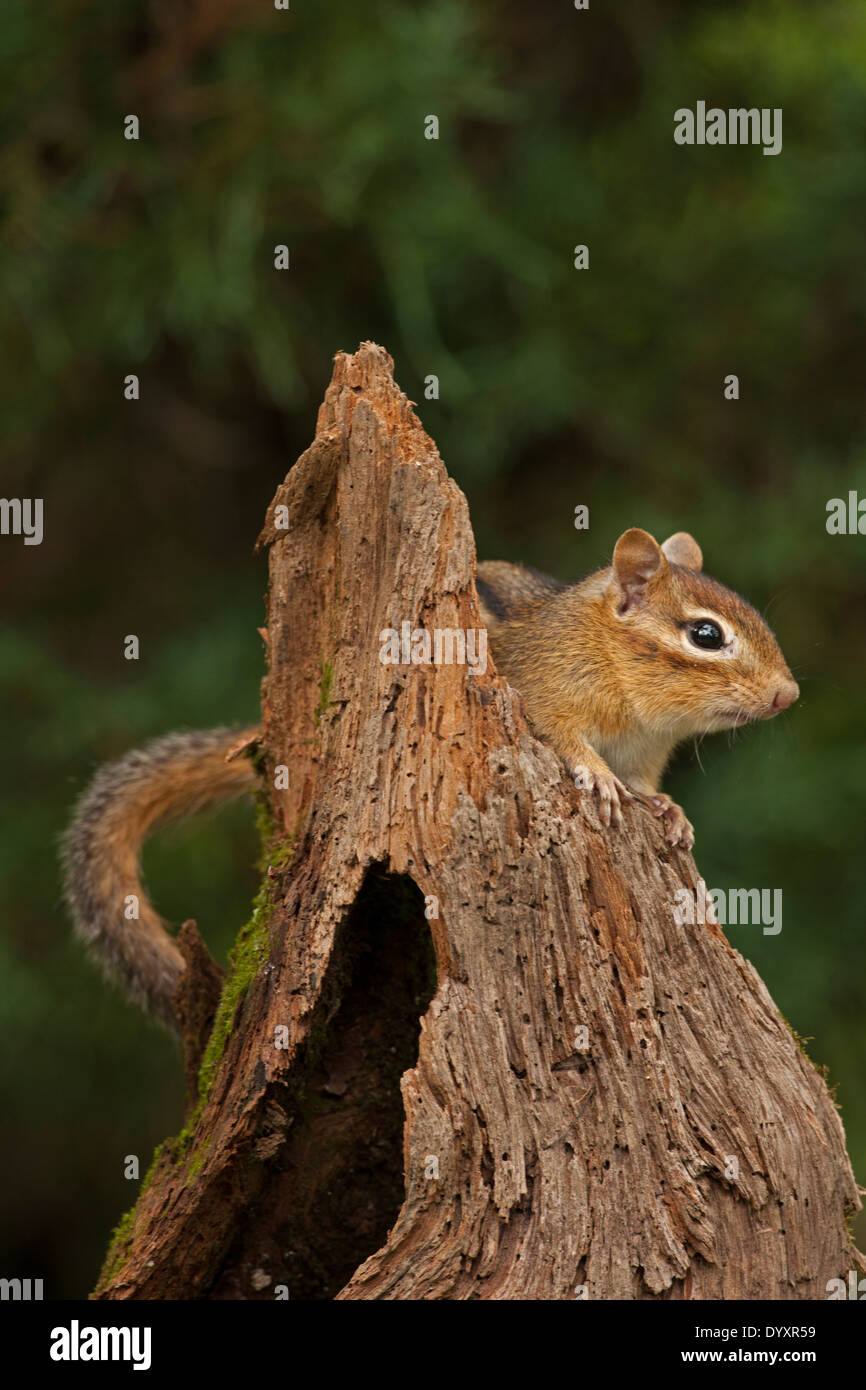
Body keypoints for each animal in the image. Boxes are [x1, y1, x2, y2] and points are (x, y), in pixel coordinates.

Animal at [63, 526, 797, 1027]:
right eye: (706, 635)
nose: (787, 695)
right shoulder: (543, 697)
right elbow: (568, 741)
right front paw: (599, 778)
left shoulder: (647, 751)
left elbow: (648, 785)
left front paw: (668, 810)